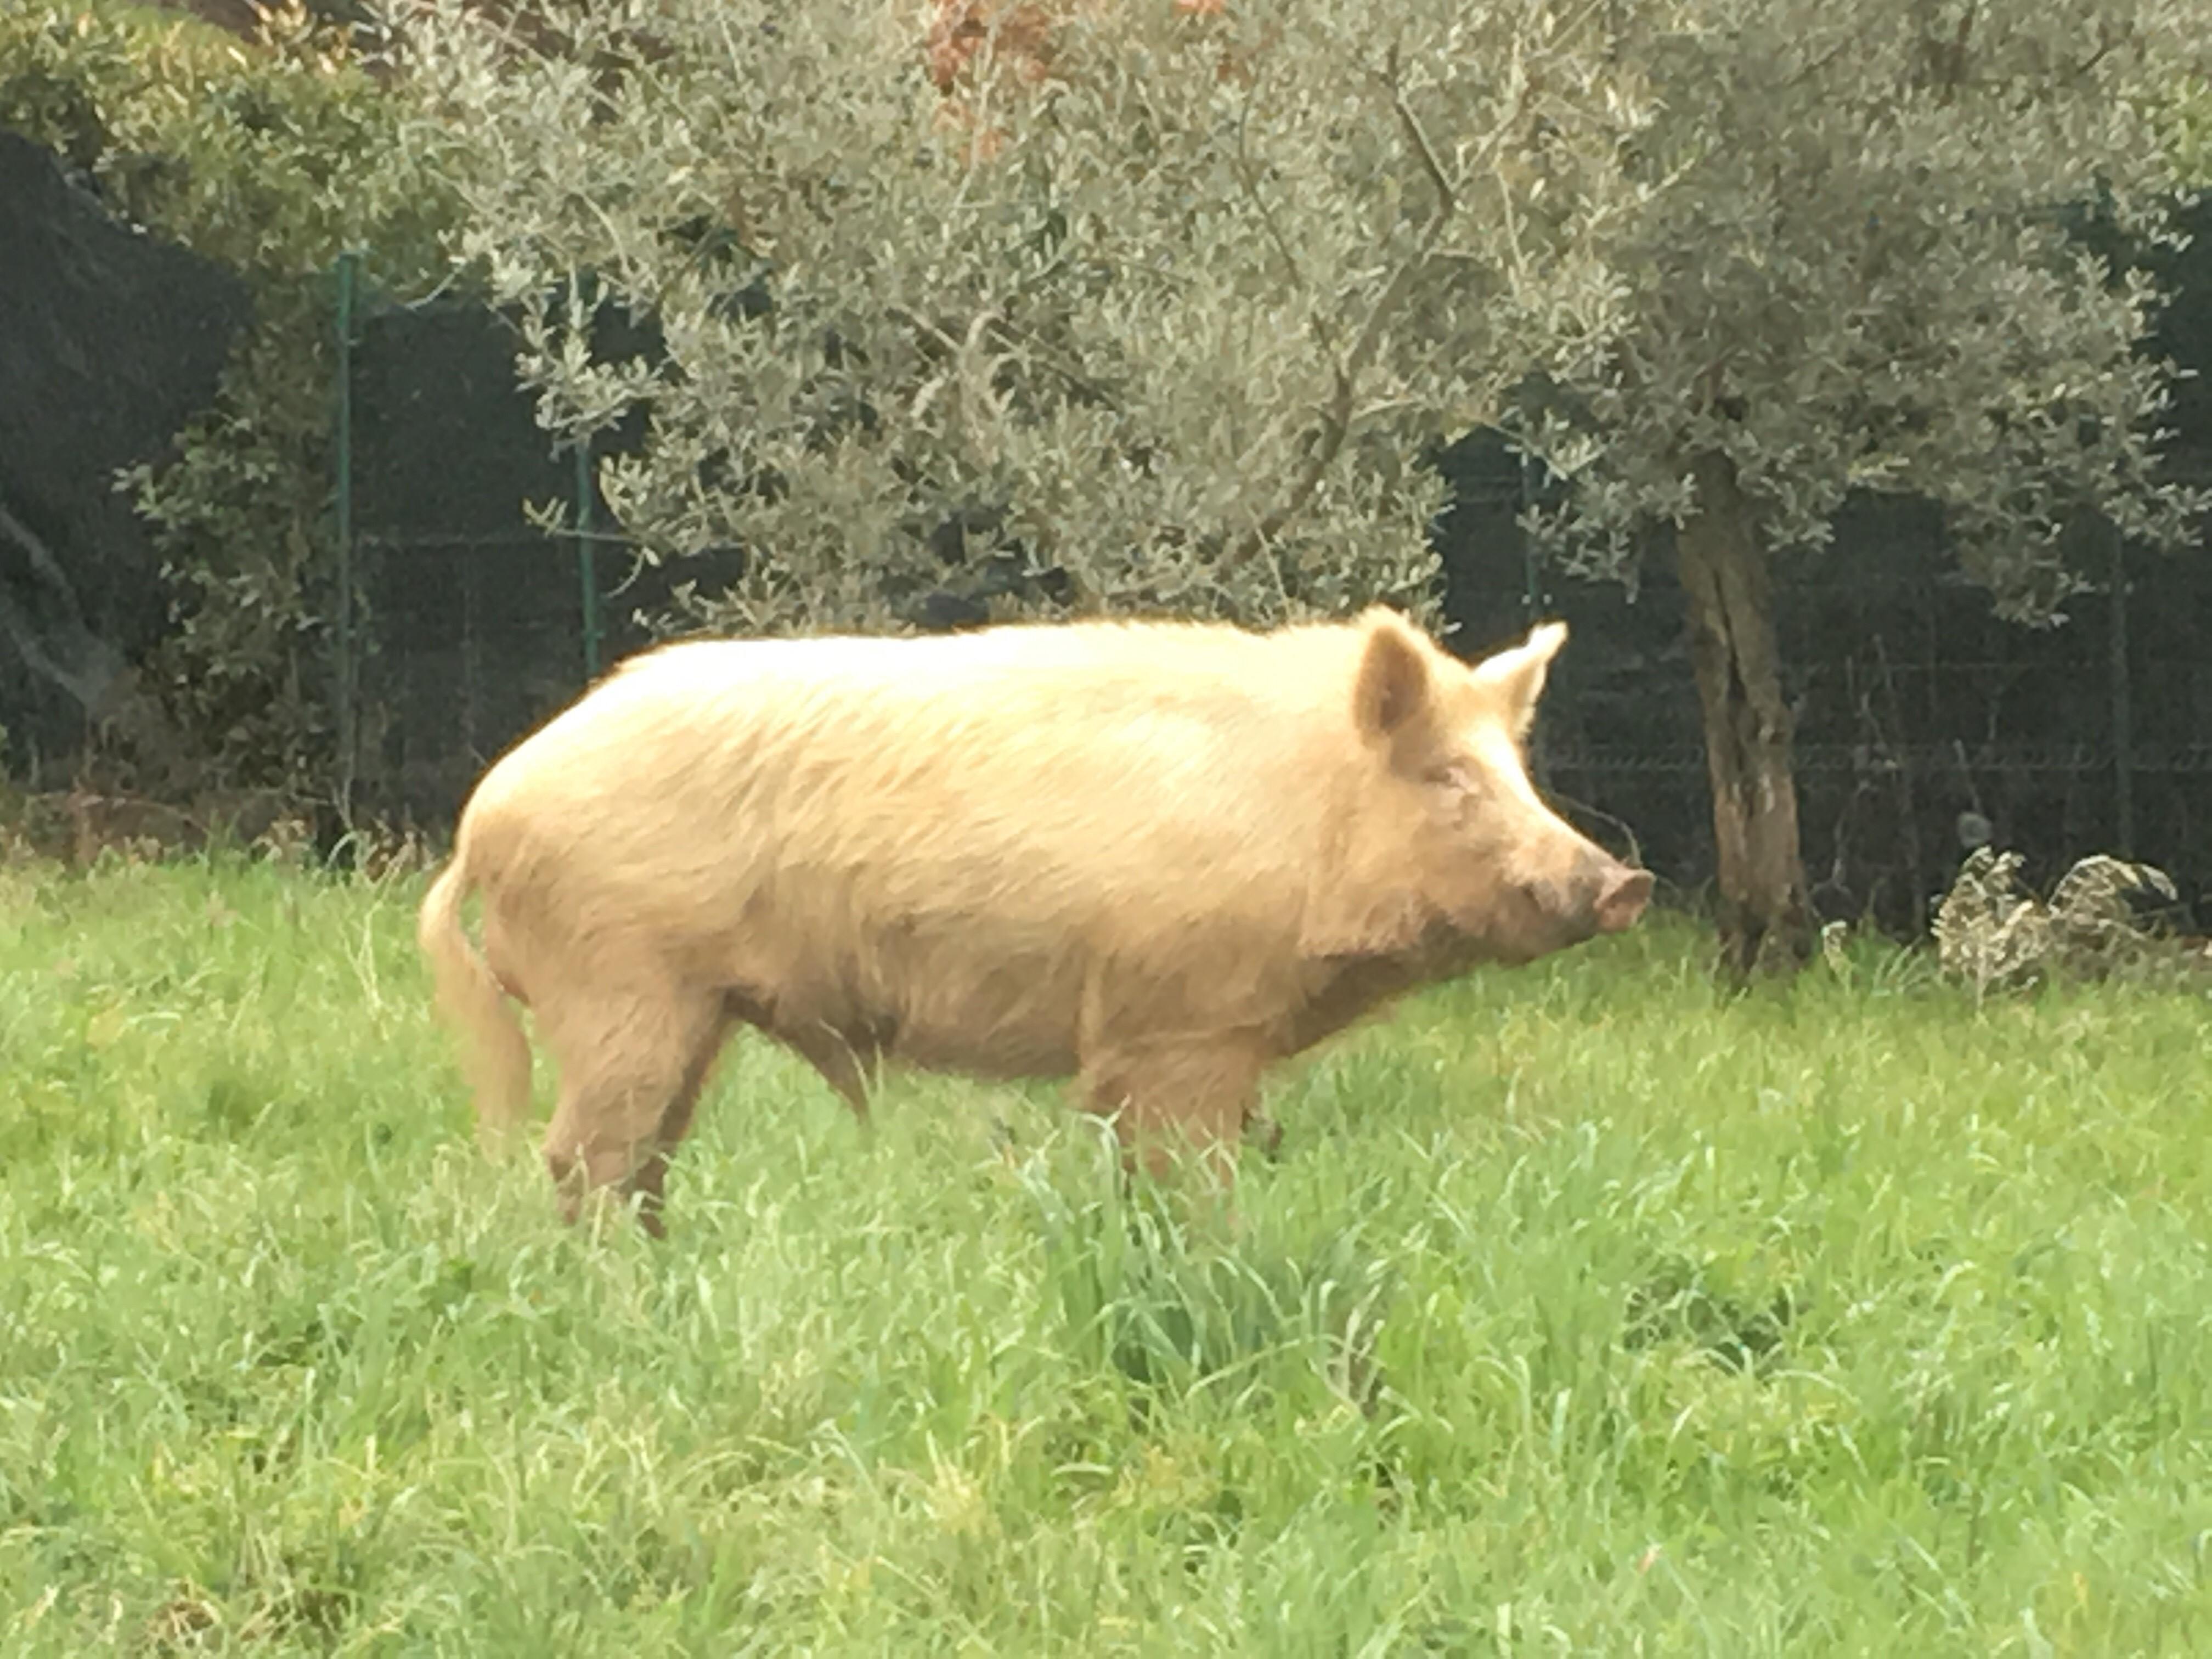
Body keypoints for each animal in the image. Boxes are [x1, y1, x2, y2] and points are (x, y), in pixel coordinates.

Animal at [416, 608, 1651, 1231]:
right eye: (1445, 775)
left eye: (1517, 767)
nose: (1620, 880)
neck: (1299, 814)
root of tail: (485, 811)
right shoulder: (1181, 1029)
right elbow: (1192, 1180)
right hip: (621, 986)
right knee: (583, 1157)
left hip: (689, 1012)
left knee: (642, 1160)